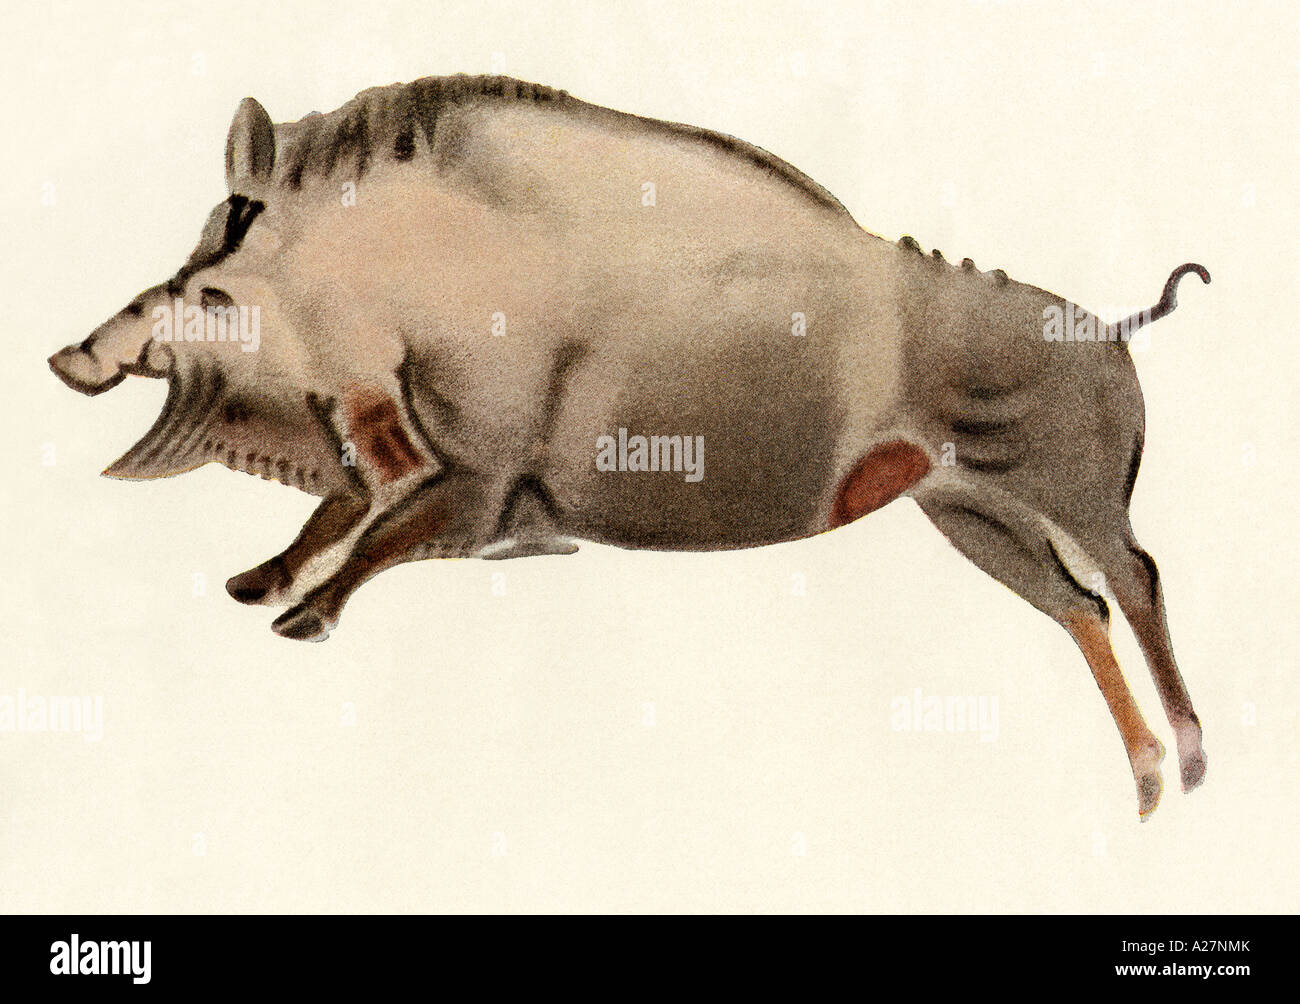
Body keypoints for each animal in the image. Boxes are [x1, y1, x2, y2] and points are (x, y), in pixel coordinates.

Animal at [48, 74, 1210, 818]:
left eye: (226, 248)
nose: (72, 354)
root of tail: (1114, 330)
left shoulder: (479, 478)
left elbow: (376, 532)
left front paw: (297, 618)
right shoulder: (416, 464)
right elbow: (340, 515)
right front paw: (254, 584)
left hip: (1074, 495)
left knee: (1137, 579)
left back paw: (1193, 766)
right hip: (967, 512)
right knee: (1077, 605)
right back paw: (1150, 787)